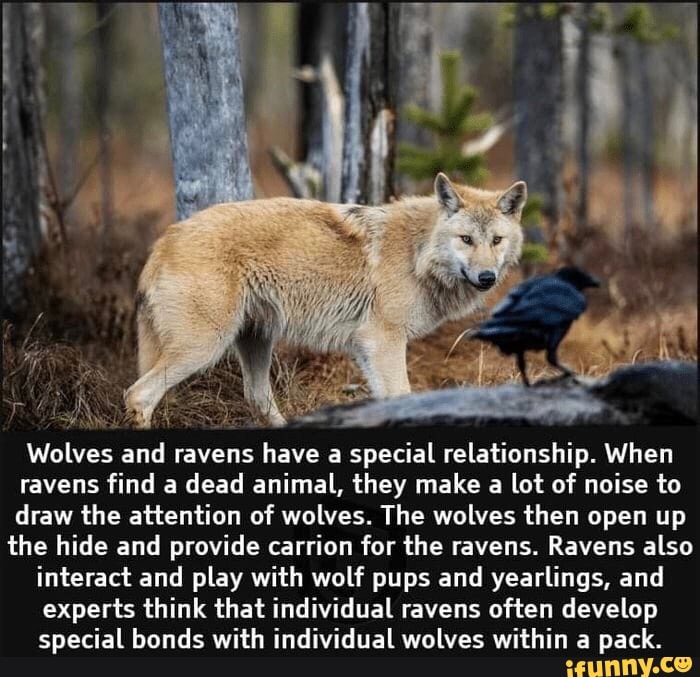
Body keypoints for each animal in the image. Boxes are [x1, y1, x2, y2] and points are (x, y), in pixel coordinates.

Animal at [125, 172, 526, 427]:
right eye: (466, 239)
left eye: (496, 241)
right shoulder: (383, 341)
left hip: (255, 341)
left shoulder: (367, 348)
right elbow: (401, 396)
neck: (417, 253)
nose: (487, 278)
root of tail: (164, 240)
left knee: (257, 398)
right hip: (204, 347)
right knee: (138, 395)